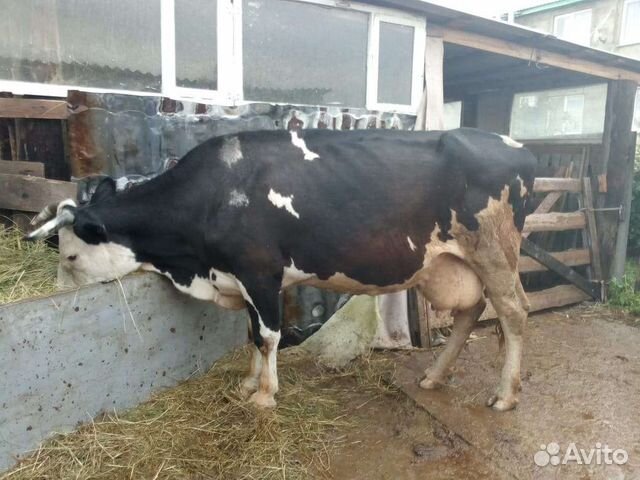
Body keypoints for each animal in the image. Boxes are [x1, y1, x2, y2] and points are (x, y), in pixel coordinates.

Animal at [26, 128, 536, 411]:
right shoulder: (239, 278)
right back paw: (434, 377)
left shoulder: (260, 271)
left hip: (494, 251)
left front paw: (265, 396)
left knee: (513, 313)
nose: (60, 299)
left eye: (70, 257)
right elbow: (252, 334)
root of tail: (515, 146)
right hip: (456, 263)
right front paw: (249, 382)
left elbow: (269, 335)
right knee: (472, 311)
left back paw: (505, 394)